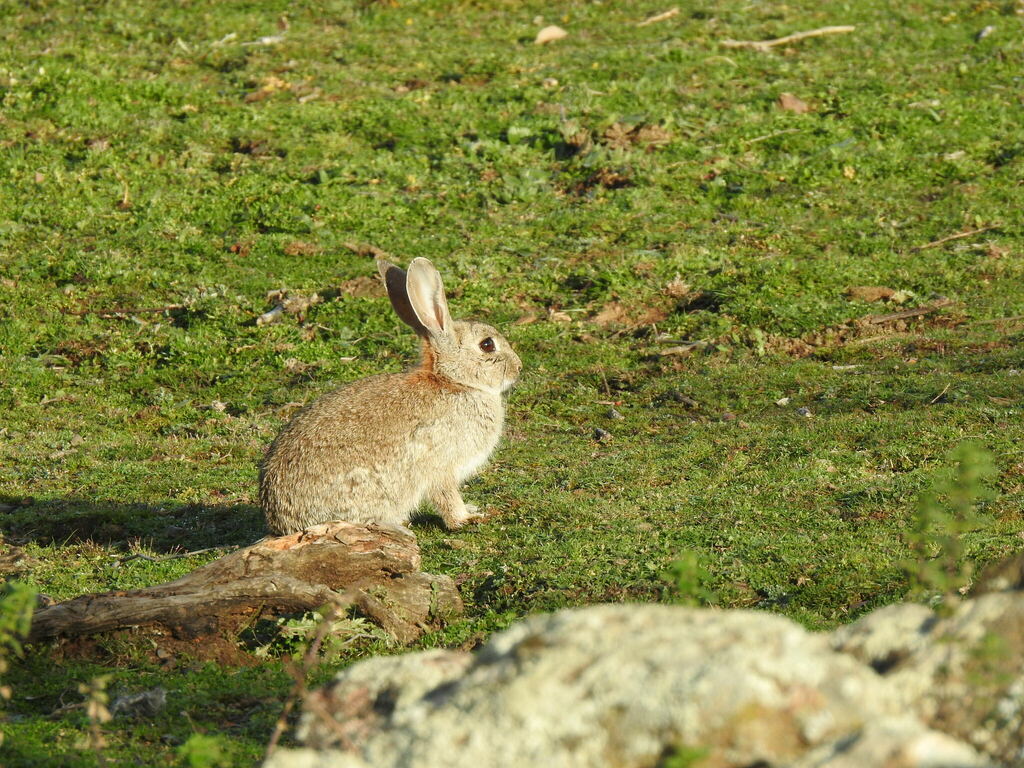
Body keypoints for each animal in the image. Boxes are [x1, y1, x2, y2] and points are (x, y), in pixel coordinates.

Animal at [259, 257, 522, 535]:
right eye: (487, 345)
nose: (519, 367)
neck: (454, 381)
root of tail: (285, 524)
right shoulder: (441, 467)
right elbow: (447, 498)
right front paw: (468, 518)